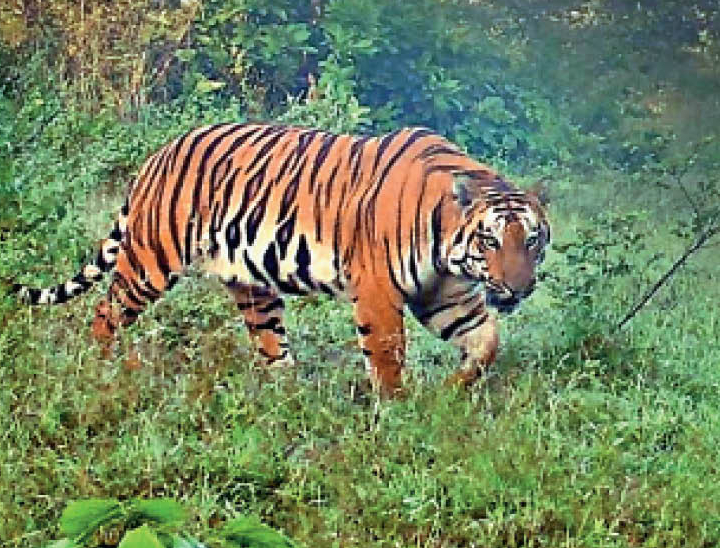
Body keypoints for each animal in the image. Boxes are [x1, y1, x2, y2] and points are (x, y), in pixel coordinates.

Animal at [13, 123, 550, 396]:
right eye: (490, 241)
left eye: (531, 241)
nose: (518, 289)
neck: (449, 252)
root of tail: (160, 153)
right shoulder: (378, 291)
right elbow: (388, 356)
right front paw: (399, 412)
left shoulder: (447, 296)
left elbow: (486, 343)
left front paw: (455, 388)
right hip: (150, 261)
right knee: (106, 312)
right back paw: (101, 370)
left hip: (253, 284)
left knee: (271, 346)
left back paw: (290, 397)